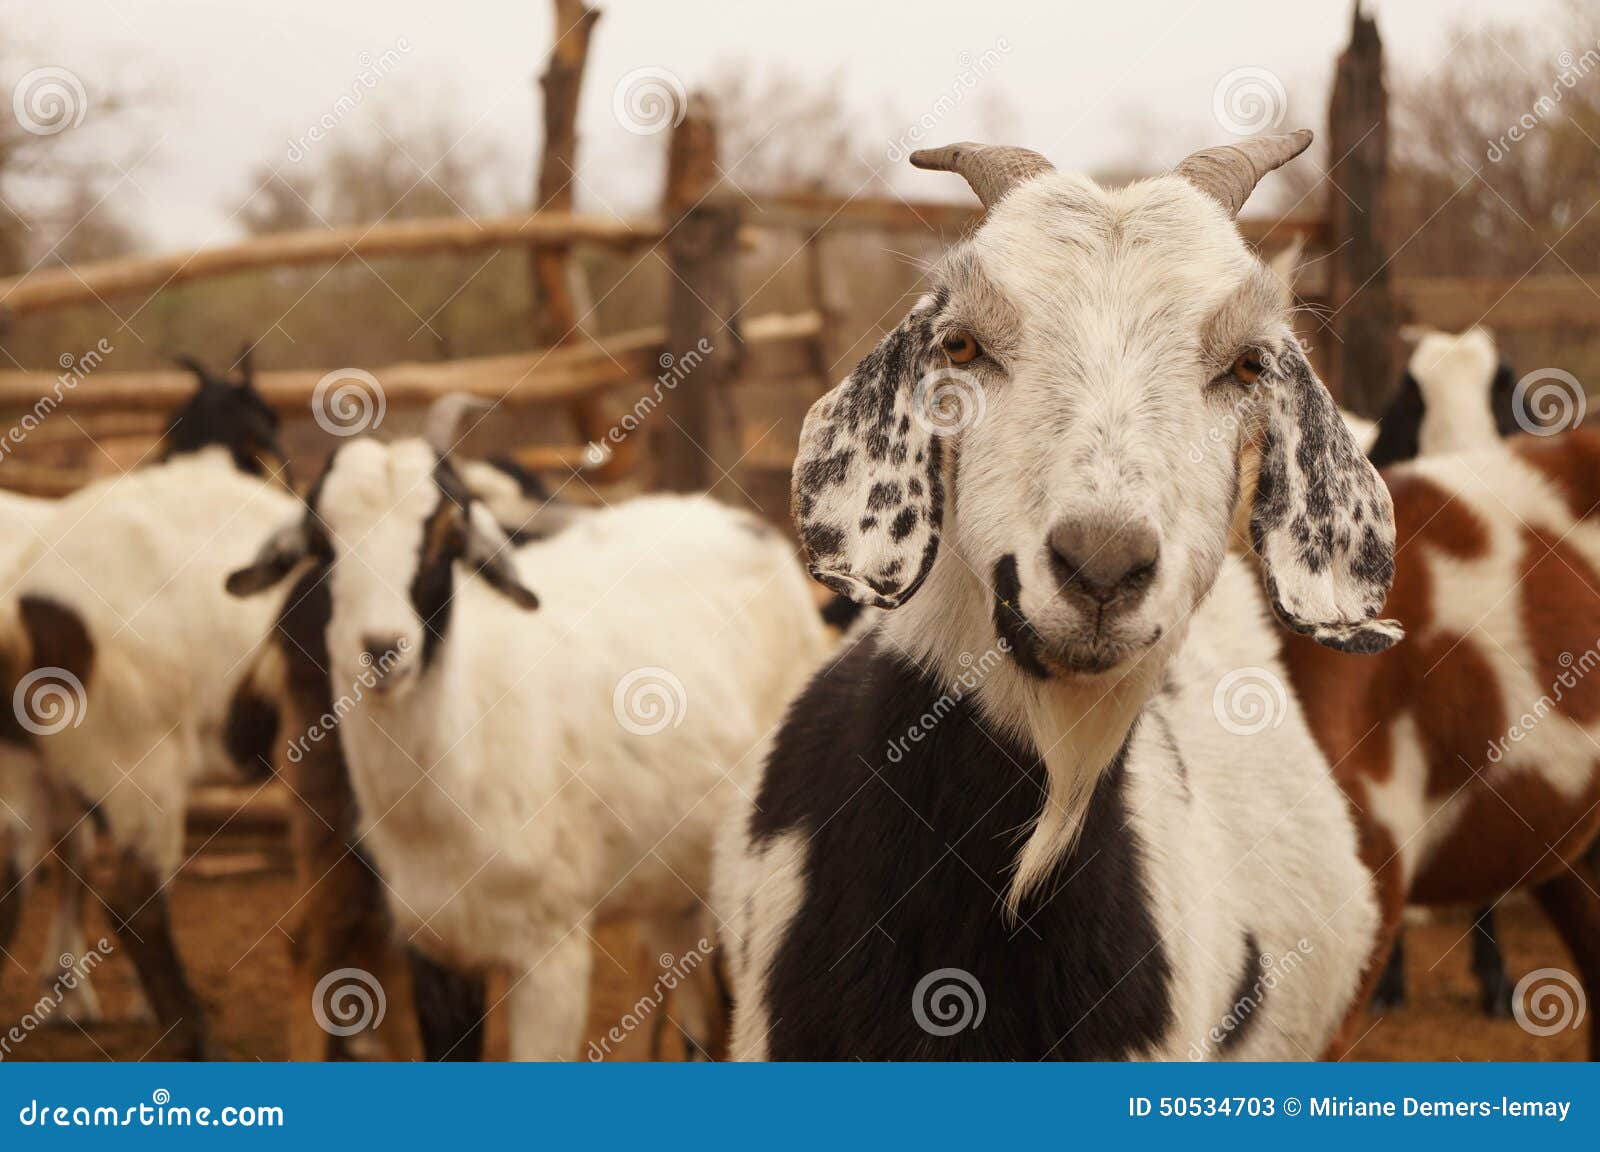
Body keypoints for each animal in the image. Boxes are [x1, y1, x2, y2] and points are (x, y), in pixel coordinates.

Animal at [225, 422, 827, 1060]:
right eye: (323, 541)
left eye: (448, 536)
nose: (382, 648)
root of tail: (736, 520)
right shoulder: (433, 947)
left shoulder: (552, 954)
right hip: (675, 884)